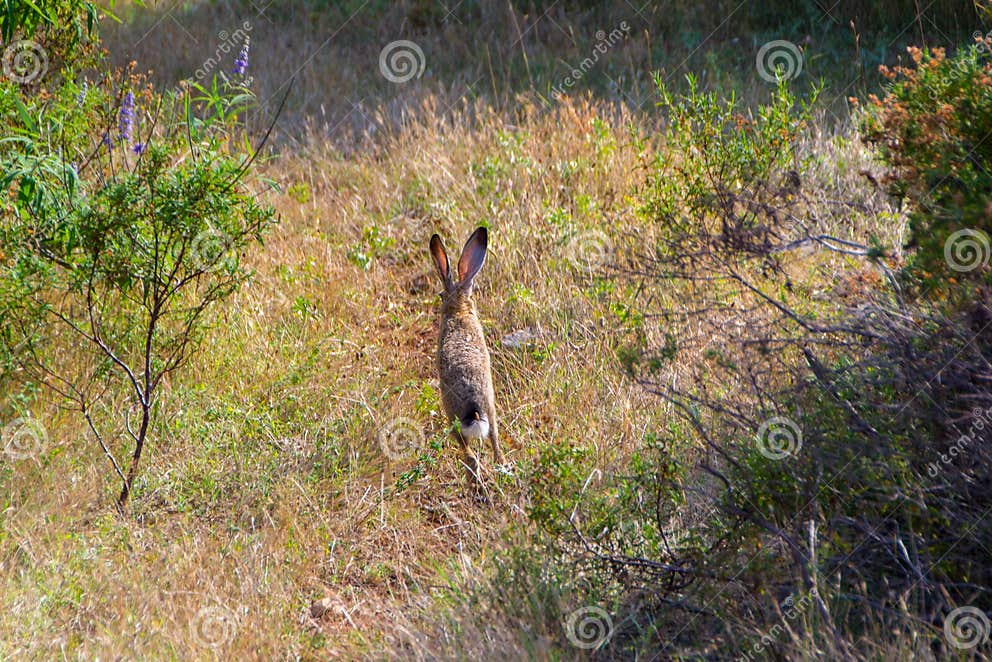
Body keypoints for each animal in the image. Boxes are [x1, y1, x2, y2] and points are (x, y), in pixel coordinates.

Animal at [429, 227, 504, 484]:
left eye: (441, 295)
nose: (440, 298)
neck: (459, 310)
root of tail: (474, 407)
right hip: (491, 410)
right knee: (497, 448)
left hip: (453, 419)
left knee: (470, 456)